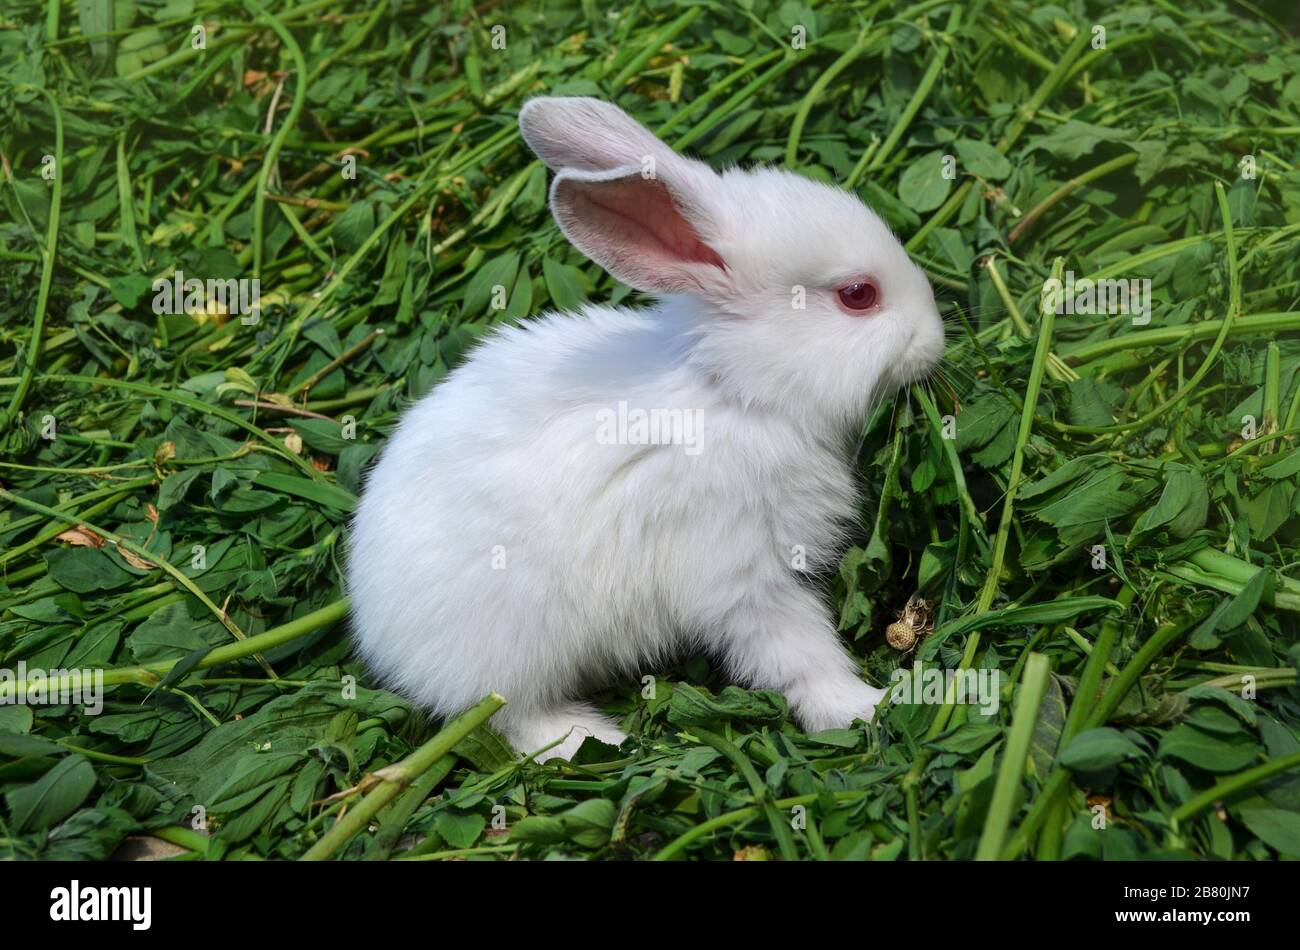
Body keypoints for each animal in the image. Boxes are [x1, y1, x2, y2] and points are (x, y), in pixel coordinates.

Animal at [348, 97, 946, 761]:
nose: (936, 341)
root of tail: (378, 626)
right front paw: (861, 706)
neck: (735, 391)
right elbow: (797, 652)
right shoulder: (742, 573)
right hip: (514, 649)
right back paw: (594, 738)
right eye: (858, 295)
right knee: (511, 715)